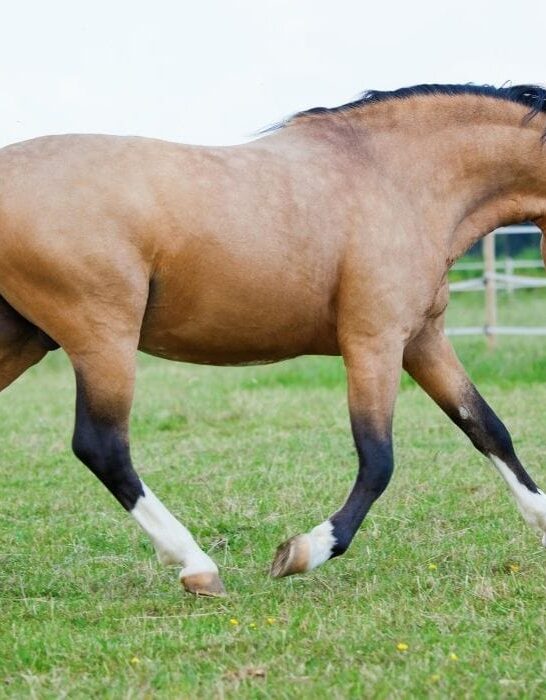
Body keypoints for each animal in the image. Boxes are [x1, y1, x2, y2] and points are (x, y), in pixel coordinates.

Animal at [1, 84, 545, 597]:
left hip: (26, 342)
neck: (395, 176)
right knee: (103, 447)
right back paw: (196, 564)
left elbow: (486, 428)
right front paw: (305, 551)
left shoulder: (422, 342)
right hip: (102, 341)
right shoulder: (374, 342)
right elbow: (378, 459)